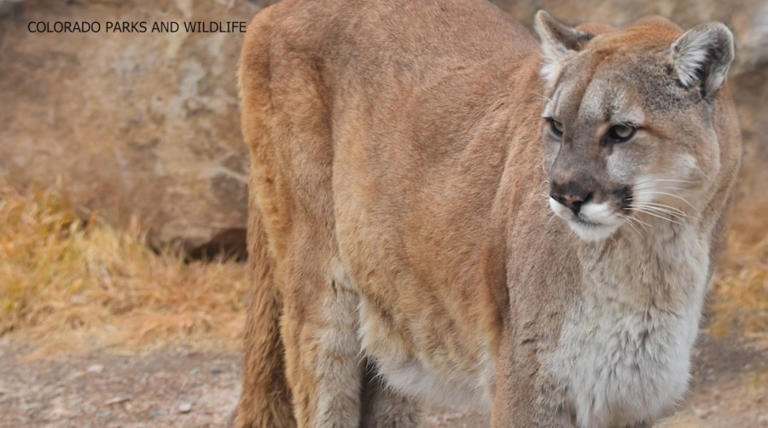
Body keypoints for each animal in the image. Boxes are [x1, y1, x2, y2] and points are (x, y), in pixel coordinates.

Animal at [234, 0, 742, 426]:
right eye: (556, 125)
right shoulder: (531, 383)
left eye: (620, 131)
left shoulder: (630, 399)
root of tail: (275, 9)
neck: (652, 250)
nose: (563, 194)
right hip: (322, 299)